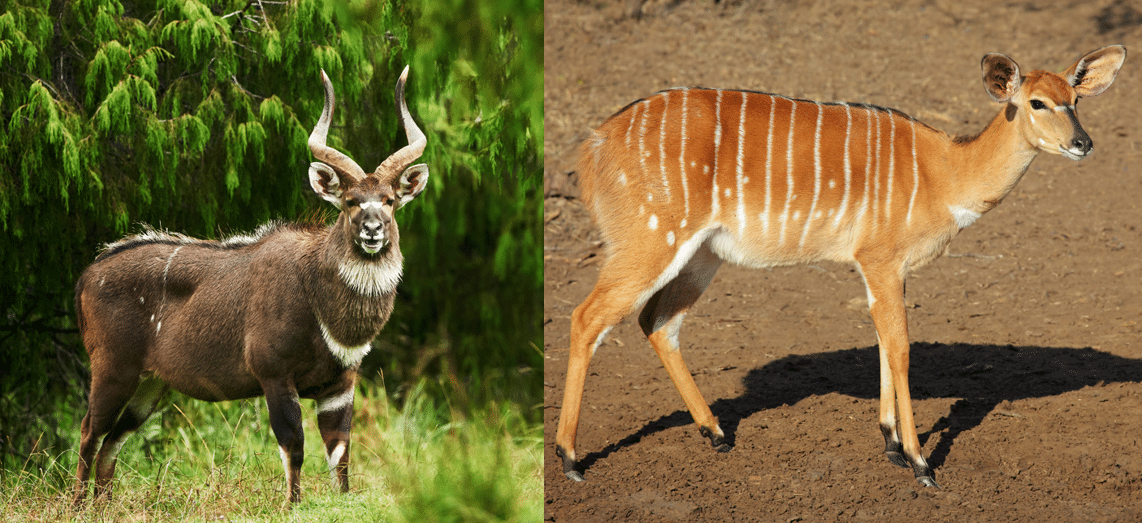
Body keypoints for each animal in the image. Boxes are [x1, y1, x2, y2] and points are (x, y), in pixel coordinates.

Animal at [72, 67, 429, 506]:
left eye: (390, 200)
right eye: (350, 201)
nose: (373, 230)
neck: (319, 296)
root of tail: (87, 276)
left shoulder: (340, 384)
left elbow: (341, 454)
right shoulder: (273, 373)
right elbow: (293, 445)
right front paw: (293, 505)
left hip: (149, 385)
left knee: (113, 440)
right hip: (112, 369)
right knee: (90, 431)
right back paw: (76, 507)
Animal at [556, 46, 1125, 488]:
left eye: (1076, 100)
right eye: (1036, 102)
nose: (1083, 143)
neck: (944, 173)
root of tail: (591, 149)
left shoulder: (881, 269)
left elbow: (882, 340)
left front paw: (891, 444)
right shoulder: (880, 259)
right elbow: (900, 347)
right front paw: (920, 463)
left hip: (701, 254)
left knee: (657, 322)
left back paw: (716, 435)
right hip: (649, 240)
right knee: (587, 318)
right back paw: (569, 459)